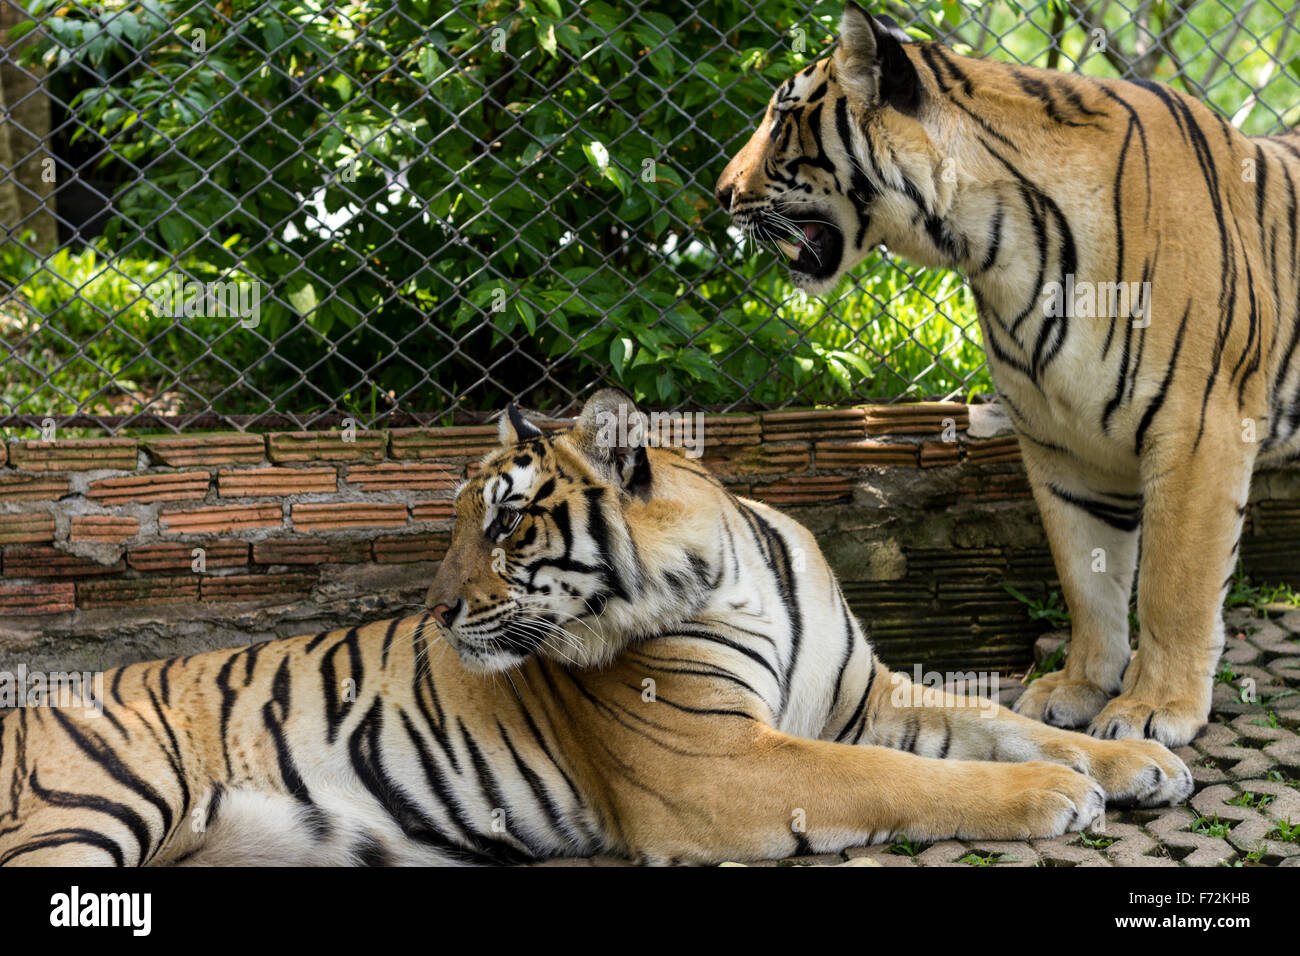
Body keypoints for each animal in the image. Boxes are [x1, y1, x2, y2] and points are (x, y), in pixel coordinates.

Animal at [0, 390, 1192, 866]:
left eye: (505, 520)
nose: (434, 608)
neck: (728, 576)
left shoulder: (867, 696)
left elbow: (1002, 722)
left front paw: (1135, 758)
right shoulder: (719, 764)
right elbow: (908, 779)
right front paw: (1051, 796)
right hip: (95, 804)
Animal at [716, 2, 1300, 748]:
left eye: (785, 116)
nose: (721, 193)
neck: (996, 245)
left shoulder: (1199, 429)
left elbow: (1174, 584)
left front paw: (1154, 707)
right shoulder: (1060, 443)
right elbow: (1087, 578)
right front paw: (1078, 689)